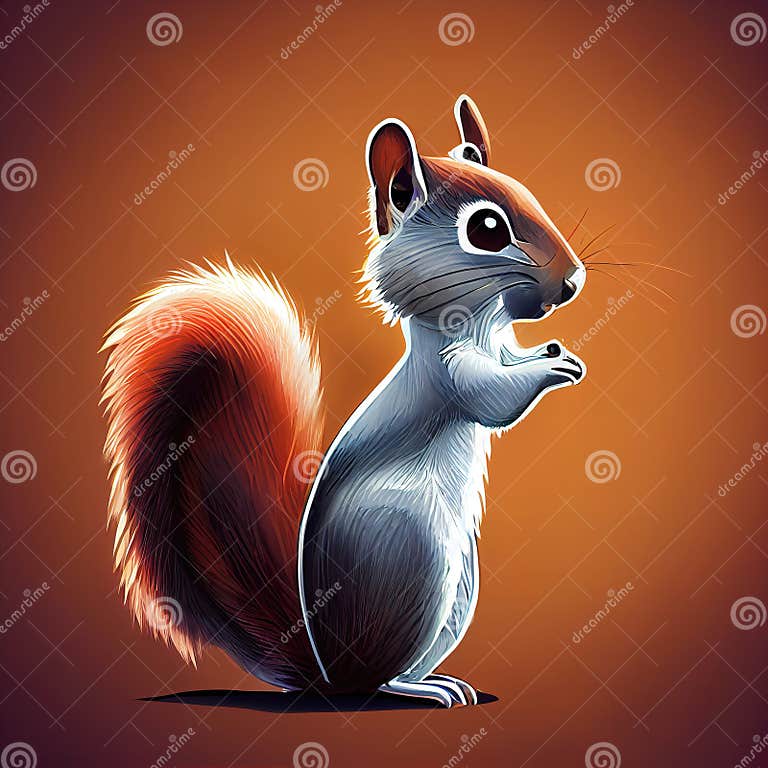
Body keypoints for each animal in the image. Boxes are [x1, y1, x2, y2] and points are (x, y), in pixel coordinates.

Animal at [101, 95, 586, 708]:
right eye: (486, 229)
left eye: (526, 192)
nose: (573, 281)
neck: (480, 324)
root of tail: (324, 670)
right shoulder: (448, 374)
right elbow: (493, 400)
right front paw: (552, 367)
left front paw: (552, 352)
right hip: (413, 553)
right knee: (375, 680)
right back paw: (414, 688)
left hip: (457, 585)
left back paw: (440, 680)